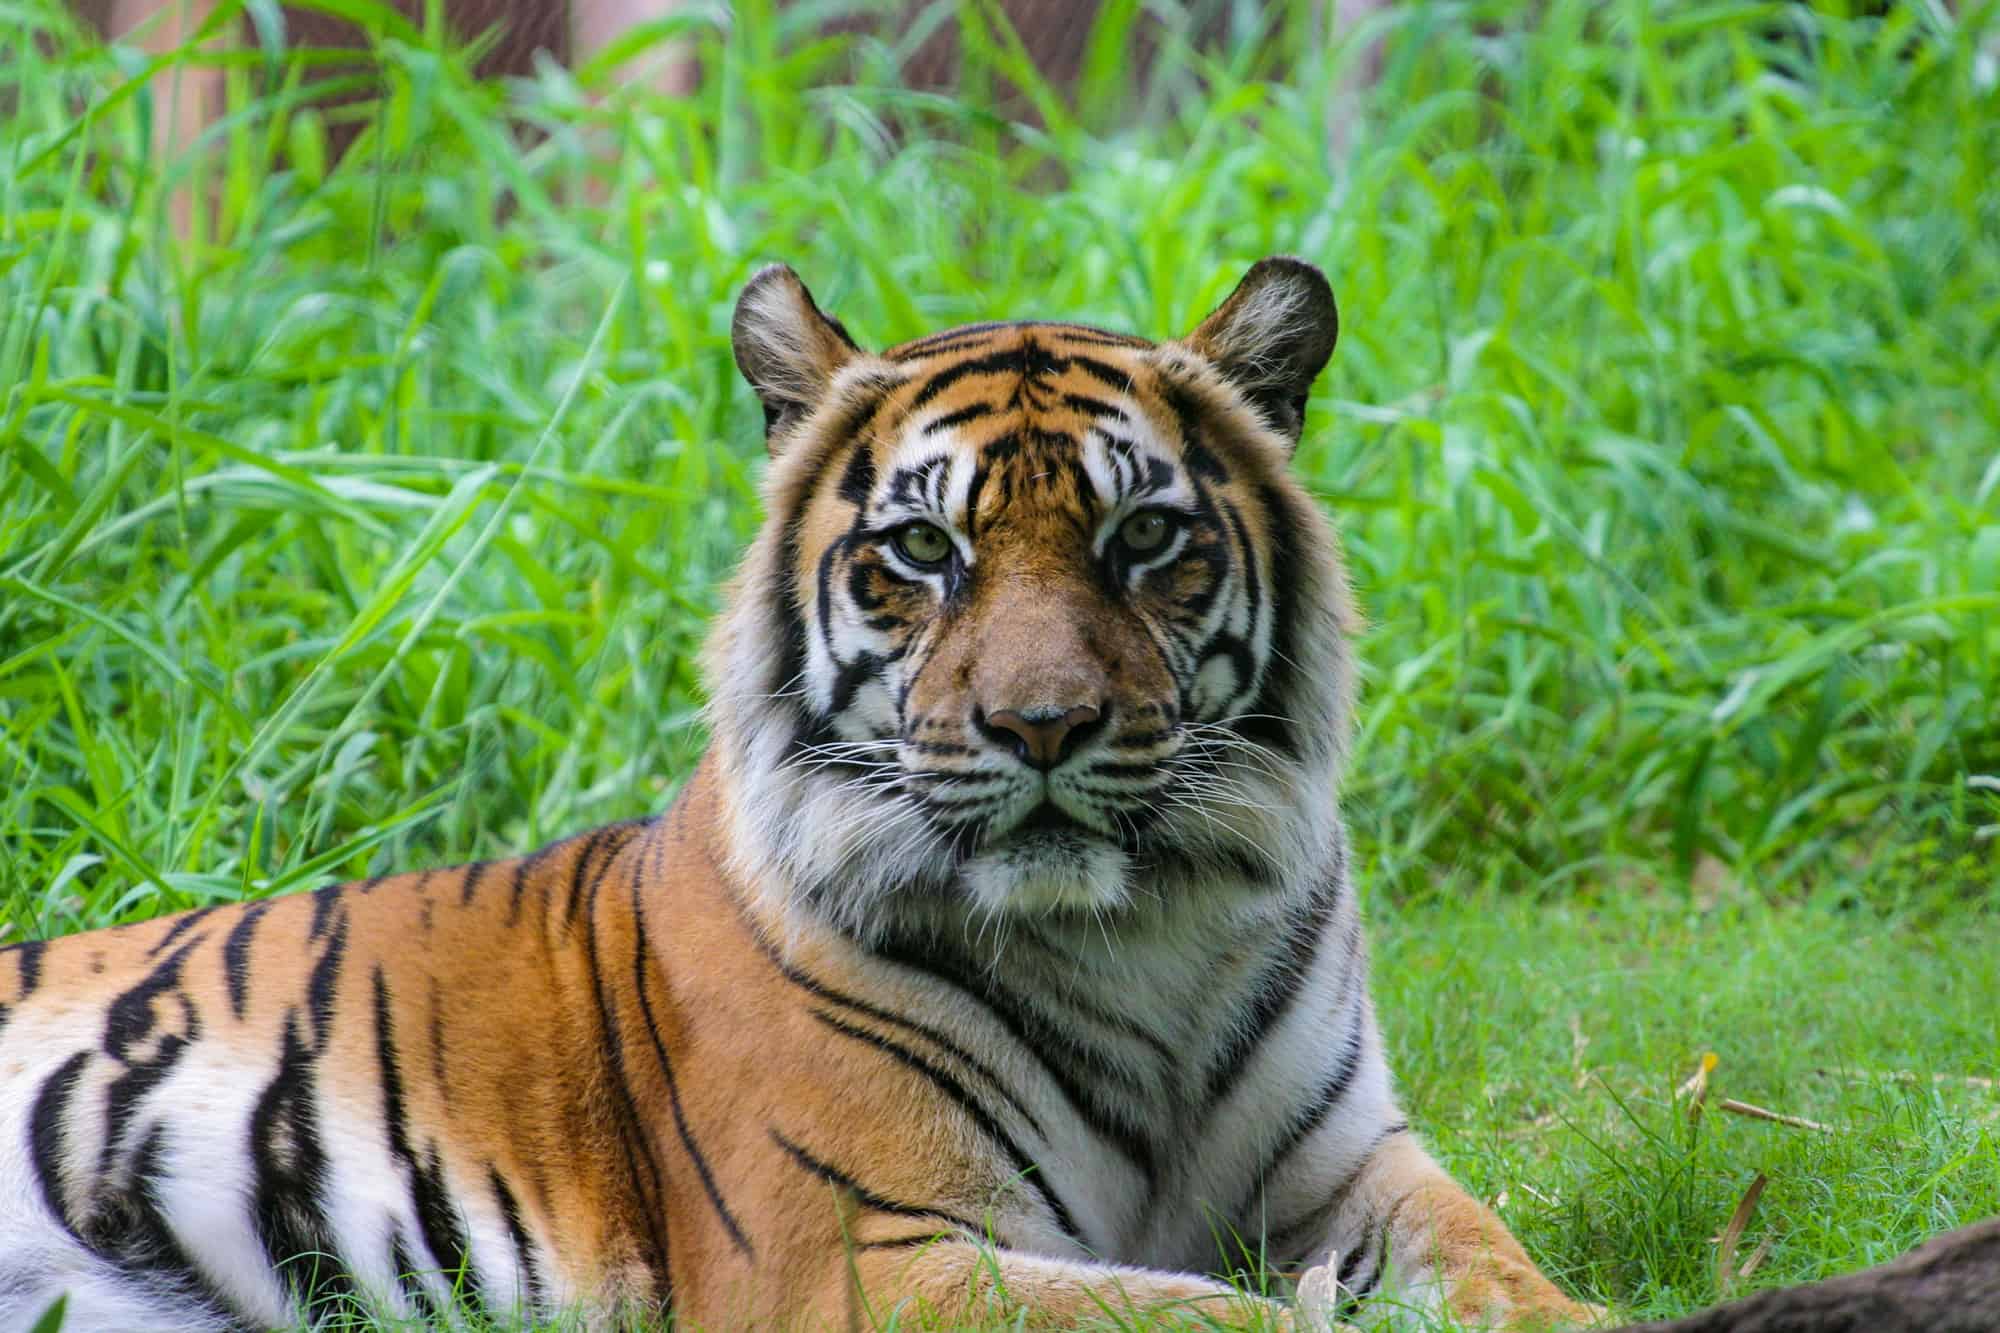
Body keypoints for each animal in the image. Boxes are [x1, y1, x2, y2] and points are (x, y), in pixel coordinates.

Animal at [0, 257, 1600, 1331]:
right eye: (923, 551)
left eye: (1144, 538)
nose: (1041, 726)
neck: (1141, 936)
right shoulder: (859, 1256)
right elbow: (1206, 1311)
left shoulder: (1358, 1166)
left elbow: (1500, 1263)